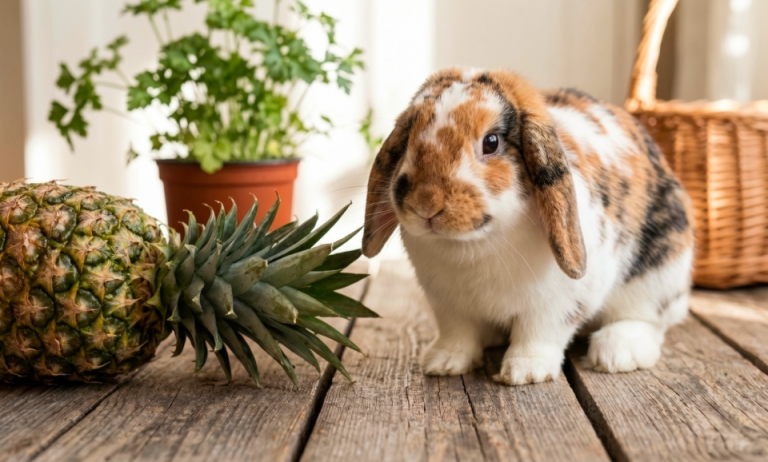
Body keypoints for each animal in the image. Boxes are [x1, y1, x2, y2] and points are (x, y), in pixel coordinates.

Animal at [362, 68, 694, 385]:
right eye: (408, 139)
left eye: (491, 142)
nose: (426, 203)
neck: (472, 244)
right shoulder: (447, 304)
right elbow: (457, 333)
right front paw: (442, 364)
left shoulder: (556, 304)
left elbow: (539, 334)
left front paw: (526, 373)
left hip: (659, 273)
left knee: (650, 320)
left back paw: (616, 353)